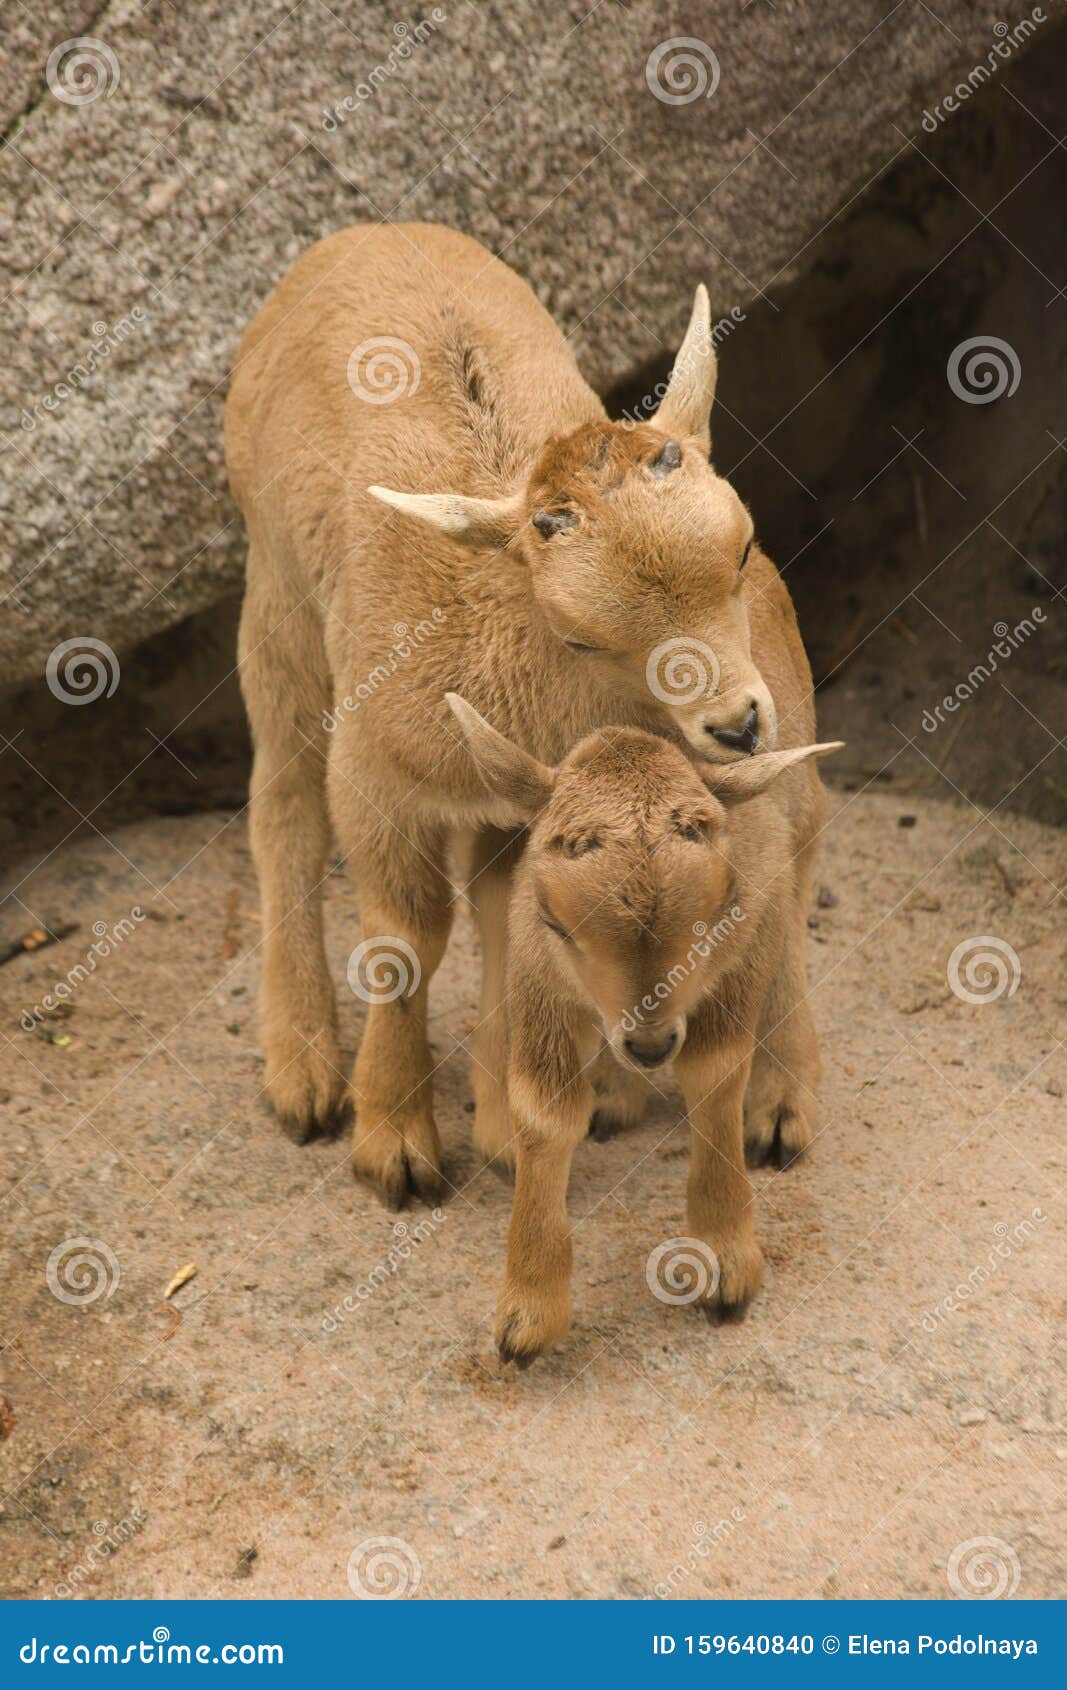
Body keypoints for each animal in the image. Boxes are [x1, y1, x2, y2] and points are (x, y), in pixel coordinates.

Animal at [224, 221, 819, 1207]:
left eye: (740, 552)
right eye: (579, 634)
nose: (736, 725)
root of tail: (366, 233)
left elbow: (508, 915)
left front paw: (510, 1125)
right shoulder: (373, 772)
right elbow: (404, 932)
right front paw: (394, 1145)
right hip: (277, 602)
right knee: (283, 808)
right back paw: (303, 1072)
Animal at [446, 694, 842, 1362]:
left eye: (716, 912)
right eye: (558, 924)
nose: (651, 1043)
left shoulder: (747, 928)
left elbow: (716, 1076)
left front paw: (724, 1265)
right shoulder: (536, 965)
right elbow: (545, 1110)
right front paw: (527, 1315)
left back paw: (781, 1108)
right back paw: (614, 1093)